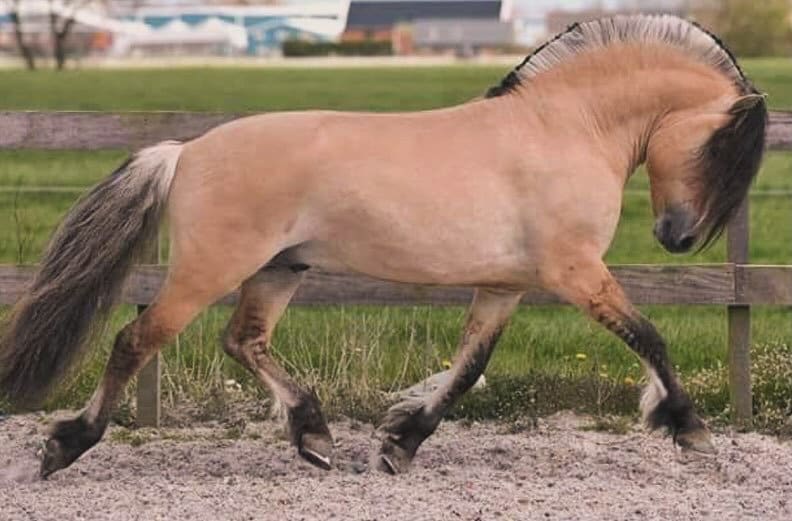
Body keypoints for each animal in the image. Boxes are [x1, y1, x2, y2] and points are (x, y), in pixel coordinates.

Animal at [0, 14, 767, 479]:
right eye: (719, 148)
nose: (677, 237)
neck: (566, 126)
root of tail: (185, 152)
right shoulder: (575, 270)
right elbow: (649, 336)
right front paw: (689, 427)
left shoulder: (507, 284)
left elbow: (468, 366)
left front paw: (400, 442)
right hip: (207, 270)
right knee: (138, 340)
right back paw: (64, 445)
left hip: (279, 270)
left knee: (243, 341)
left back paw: (314, 436)